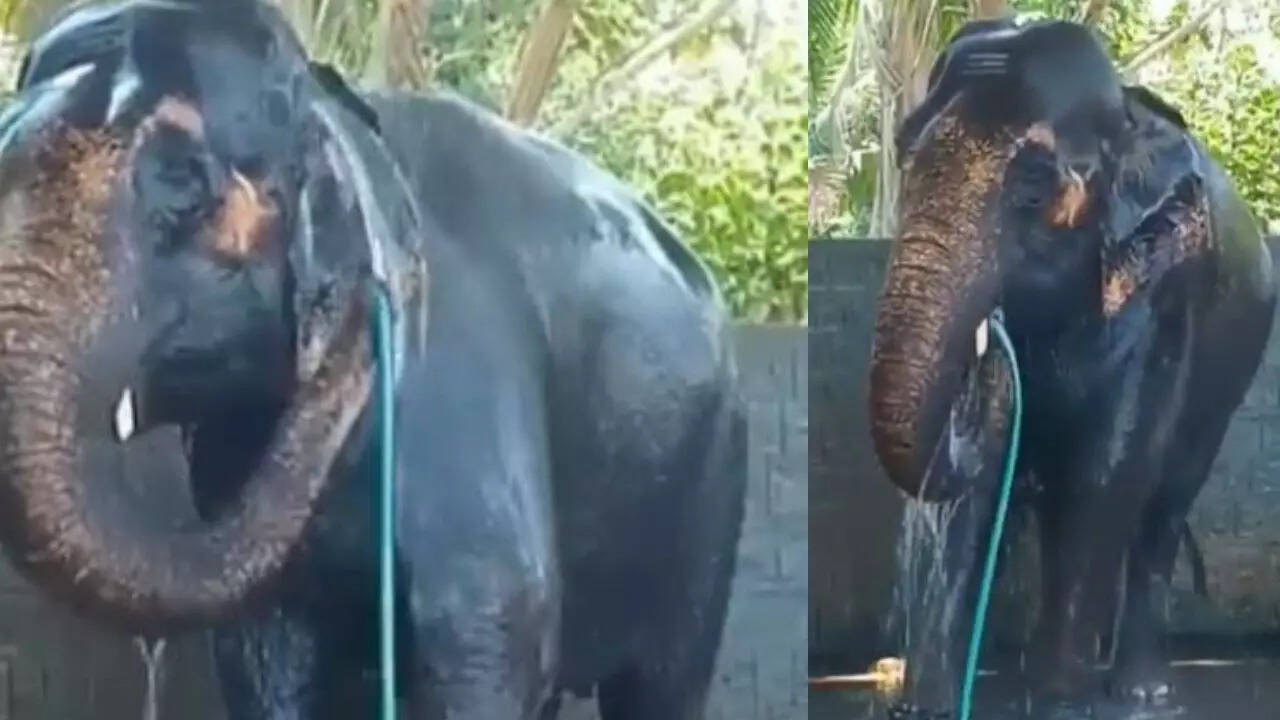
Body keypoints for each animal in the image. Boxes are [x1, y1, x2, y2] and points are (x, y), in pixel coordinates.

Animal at [0, 1, 747, 718]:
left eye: (182, 180)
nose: (371, 293)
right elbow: (266, 657)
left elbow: (494, 636)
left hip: (713, 485)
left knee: (661, 686)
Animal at [867, 18, 1276, 719]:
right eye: (904, 161)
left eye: (1033, 189)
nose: (985, 358)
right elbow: (982, 486)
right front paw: (927, 705)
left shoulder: (1164, 293)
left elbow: (1105, 471)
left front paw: (1059, 702)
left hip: (1234, 368)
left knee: (1166, 501)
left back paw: (1140, 691)